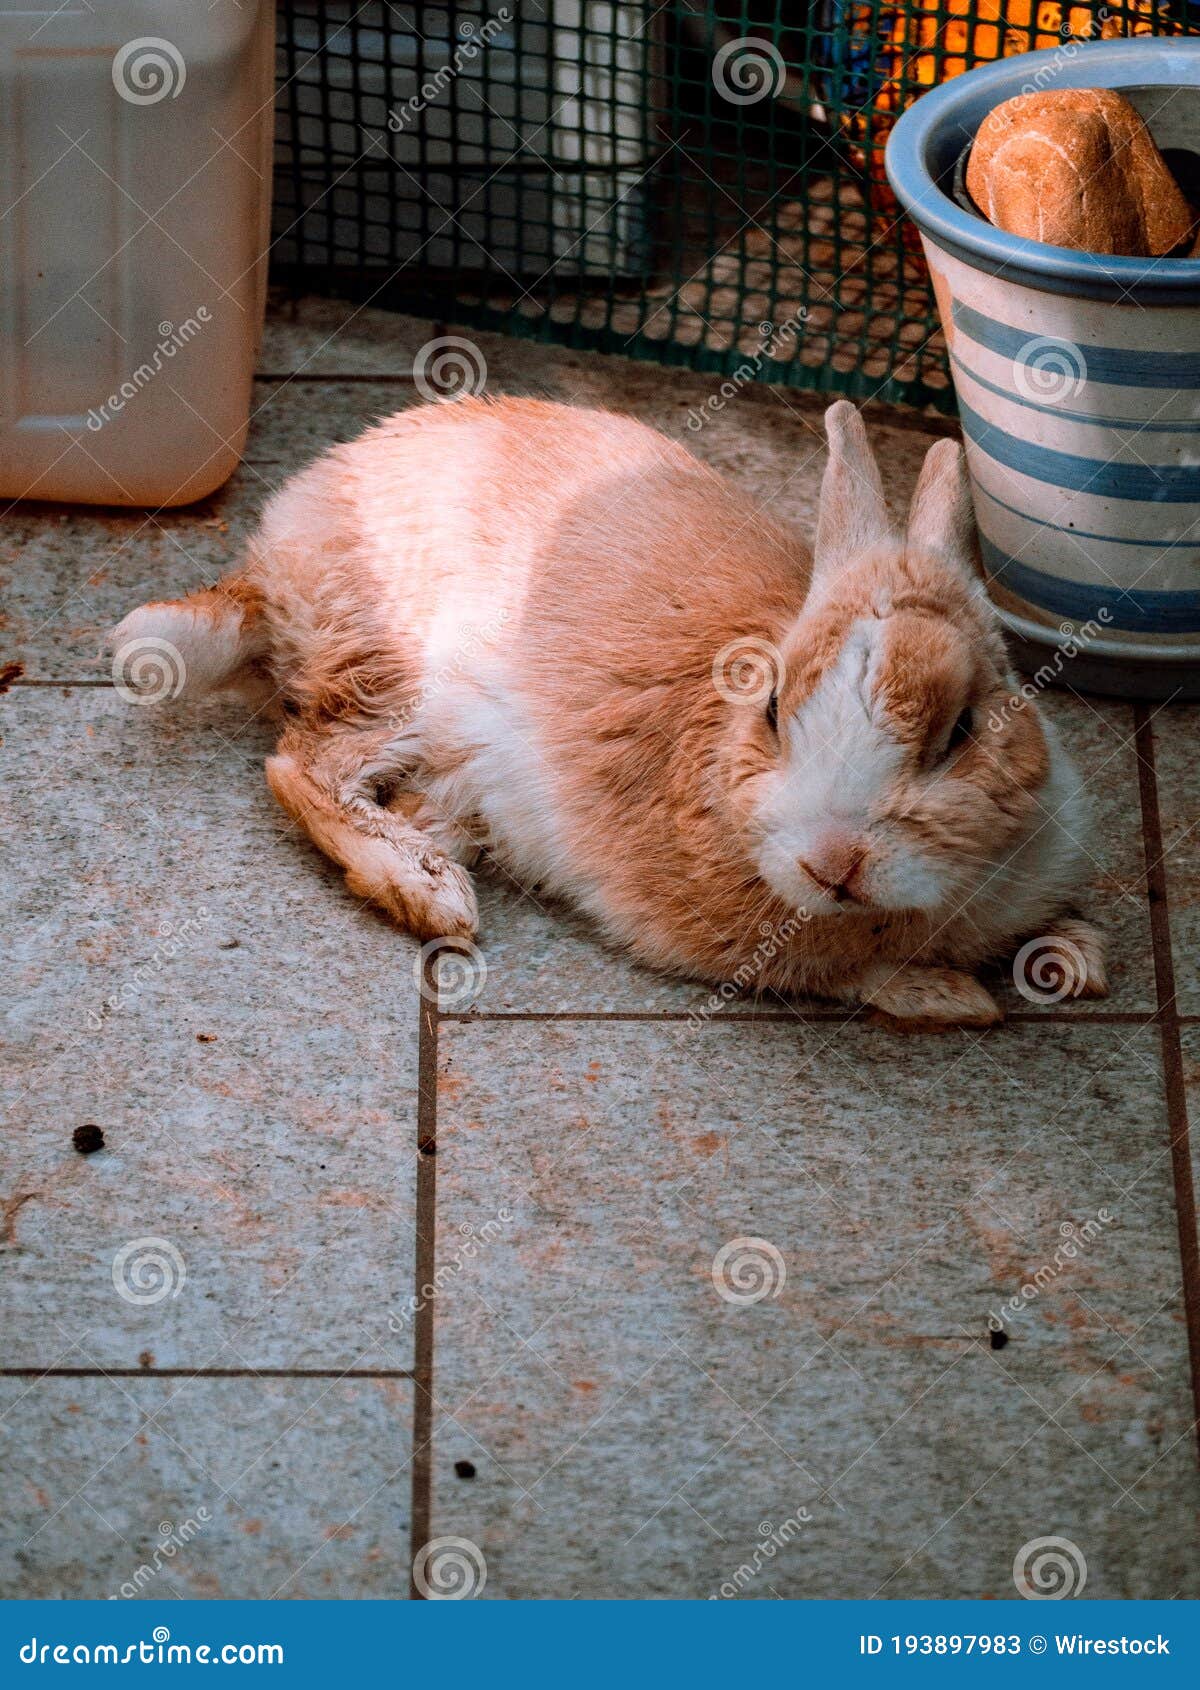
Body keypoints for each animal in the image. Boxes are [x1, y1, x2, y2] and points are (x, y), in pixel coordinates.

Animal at [109, 396, 1106, 1027]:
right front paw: (955, 1001)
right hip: (395, 681)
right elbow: (856, 972)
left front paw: (1076, 959)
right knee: (302, 764)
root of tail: (271, 563)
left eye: (964, 729)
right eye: (773, 708)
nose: (833, 860)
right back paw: (428, 895)